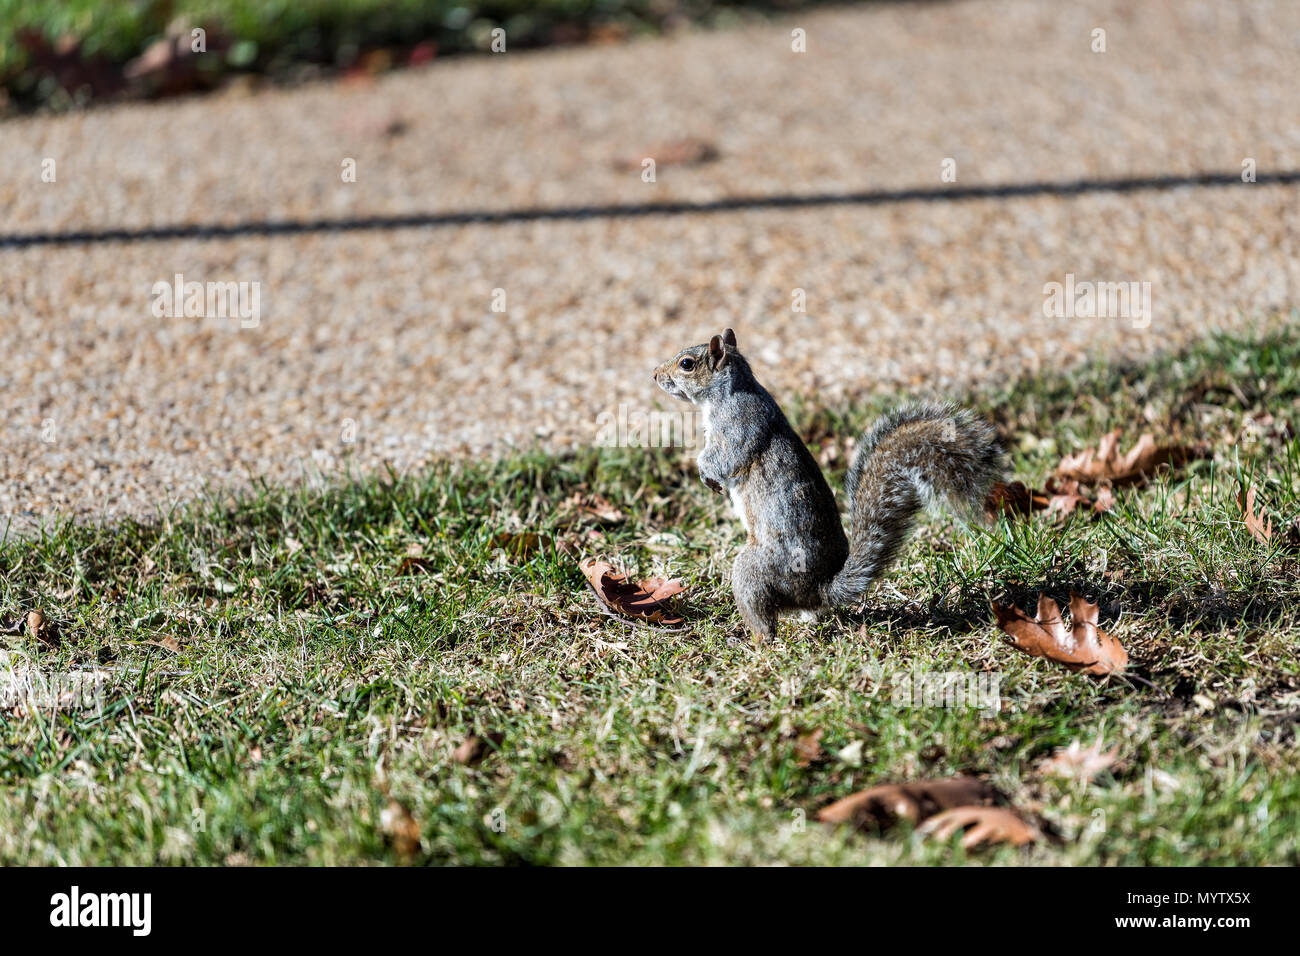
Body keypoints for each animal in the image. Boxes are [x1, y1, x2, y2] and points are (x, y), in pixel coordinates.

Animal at [653, 328, 1003, 641]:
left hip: (753, 571)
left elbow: (725, 459)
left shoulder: (738, 426)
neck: (730, 392)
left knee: (765, 623)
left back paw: (749, 640)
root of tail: (819, 589)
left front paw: (705, 473)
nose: (655, 374)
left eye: (686, 363)